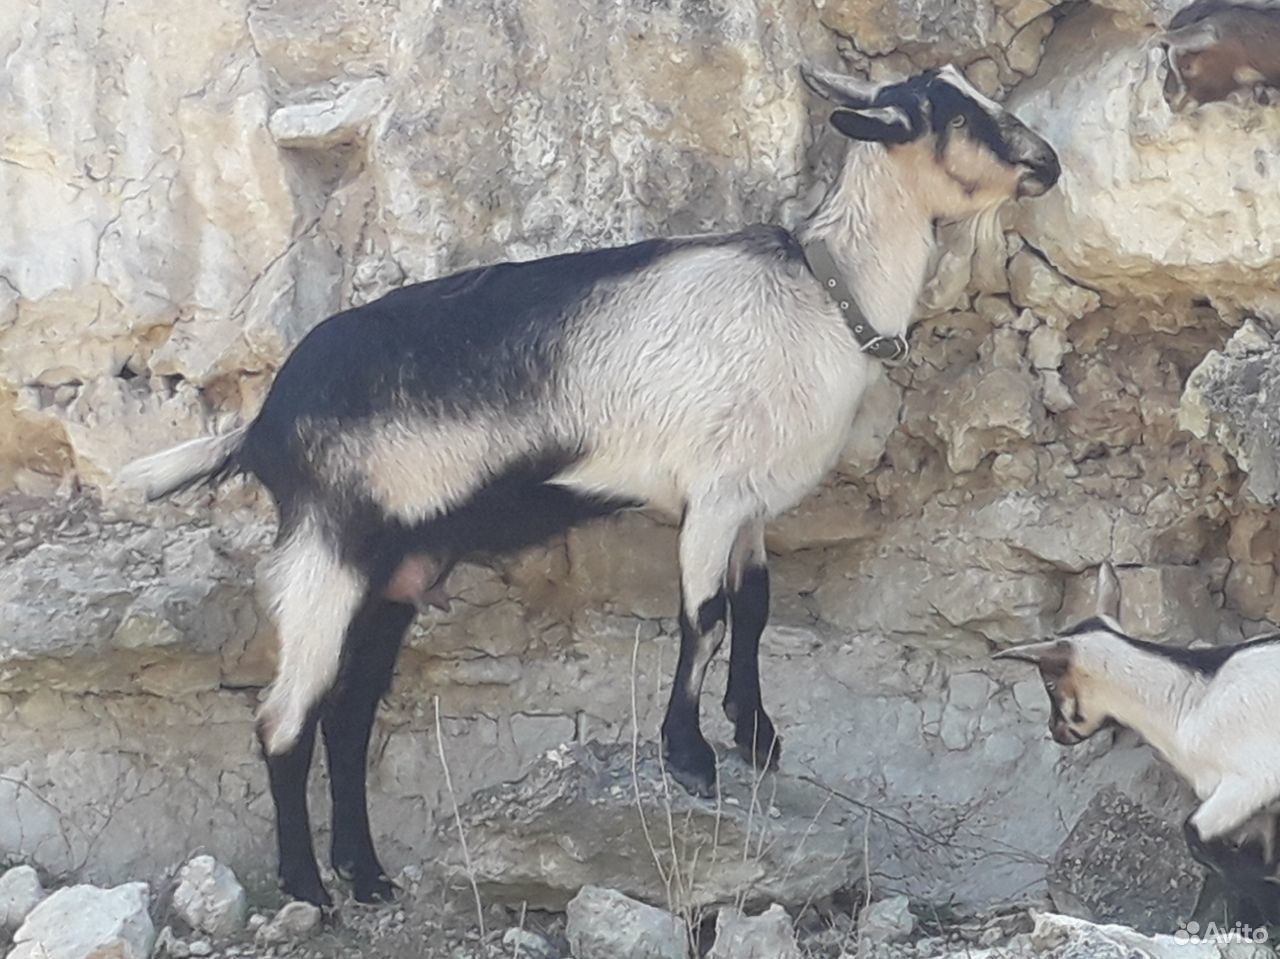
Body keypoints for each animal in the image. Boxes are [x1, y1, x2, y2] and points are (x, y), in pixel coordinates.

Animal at [120, 64, 1060, 907]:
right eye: (950, 112)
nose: (1047, 162)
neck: (824, 294)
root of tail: (262, 424)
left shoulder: (748, 501)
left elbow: (755, 607)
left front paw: (755, 736)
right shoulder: (712, 495)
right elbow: (705, 617)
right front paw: (689, 757)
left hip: (398, 571)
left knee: (348, 719)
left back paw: (368, 875)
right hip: (329, 545)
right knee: (286, 717)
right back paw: (310, 889)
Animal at [995, 563, 1280, 922]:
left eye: (1049, 683)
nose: (1055, 730)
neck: (1190, 703)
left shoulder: (1251, 781)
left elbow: (1196, 835)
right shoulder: (1265, 811)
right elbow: (1263, 858)